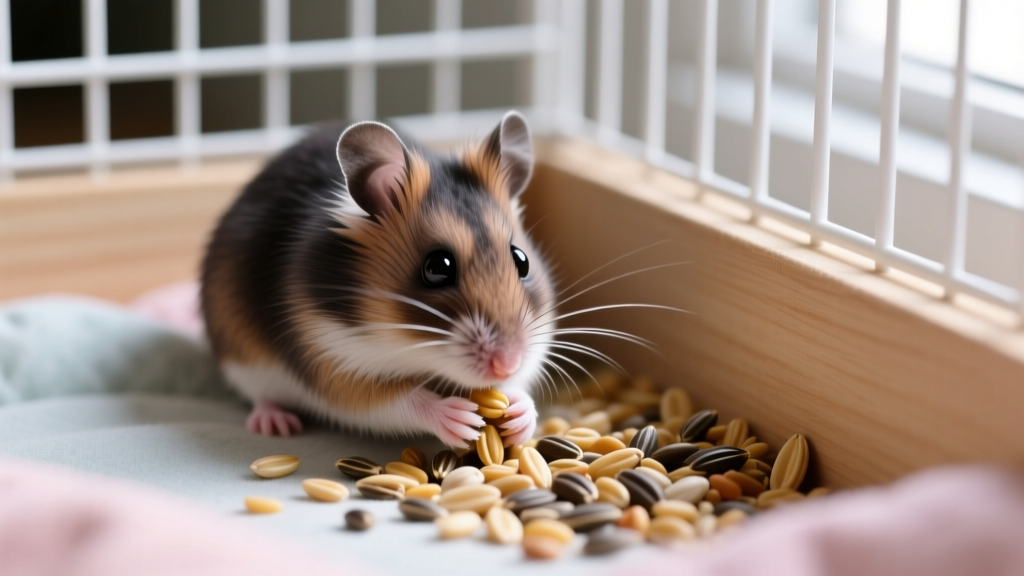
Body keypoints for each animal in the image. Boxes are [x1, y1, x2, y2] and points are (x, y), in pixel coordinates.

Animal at [200, 111, 555, 447]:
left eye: (522, 261)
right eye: (437, 268)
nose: (507, 363)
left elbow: (518, 387)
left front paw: (519, 415)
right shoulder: (334, 362)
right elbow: (397, 403)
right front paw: (461, 419)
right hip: (240, 352)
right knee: (260, 395)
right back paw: (276, 424)